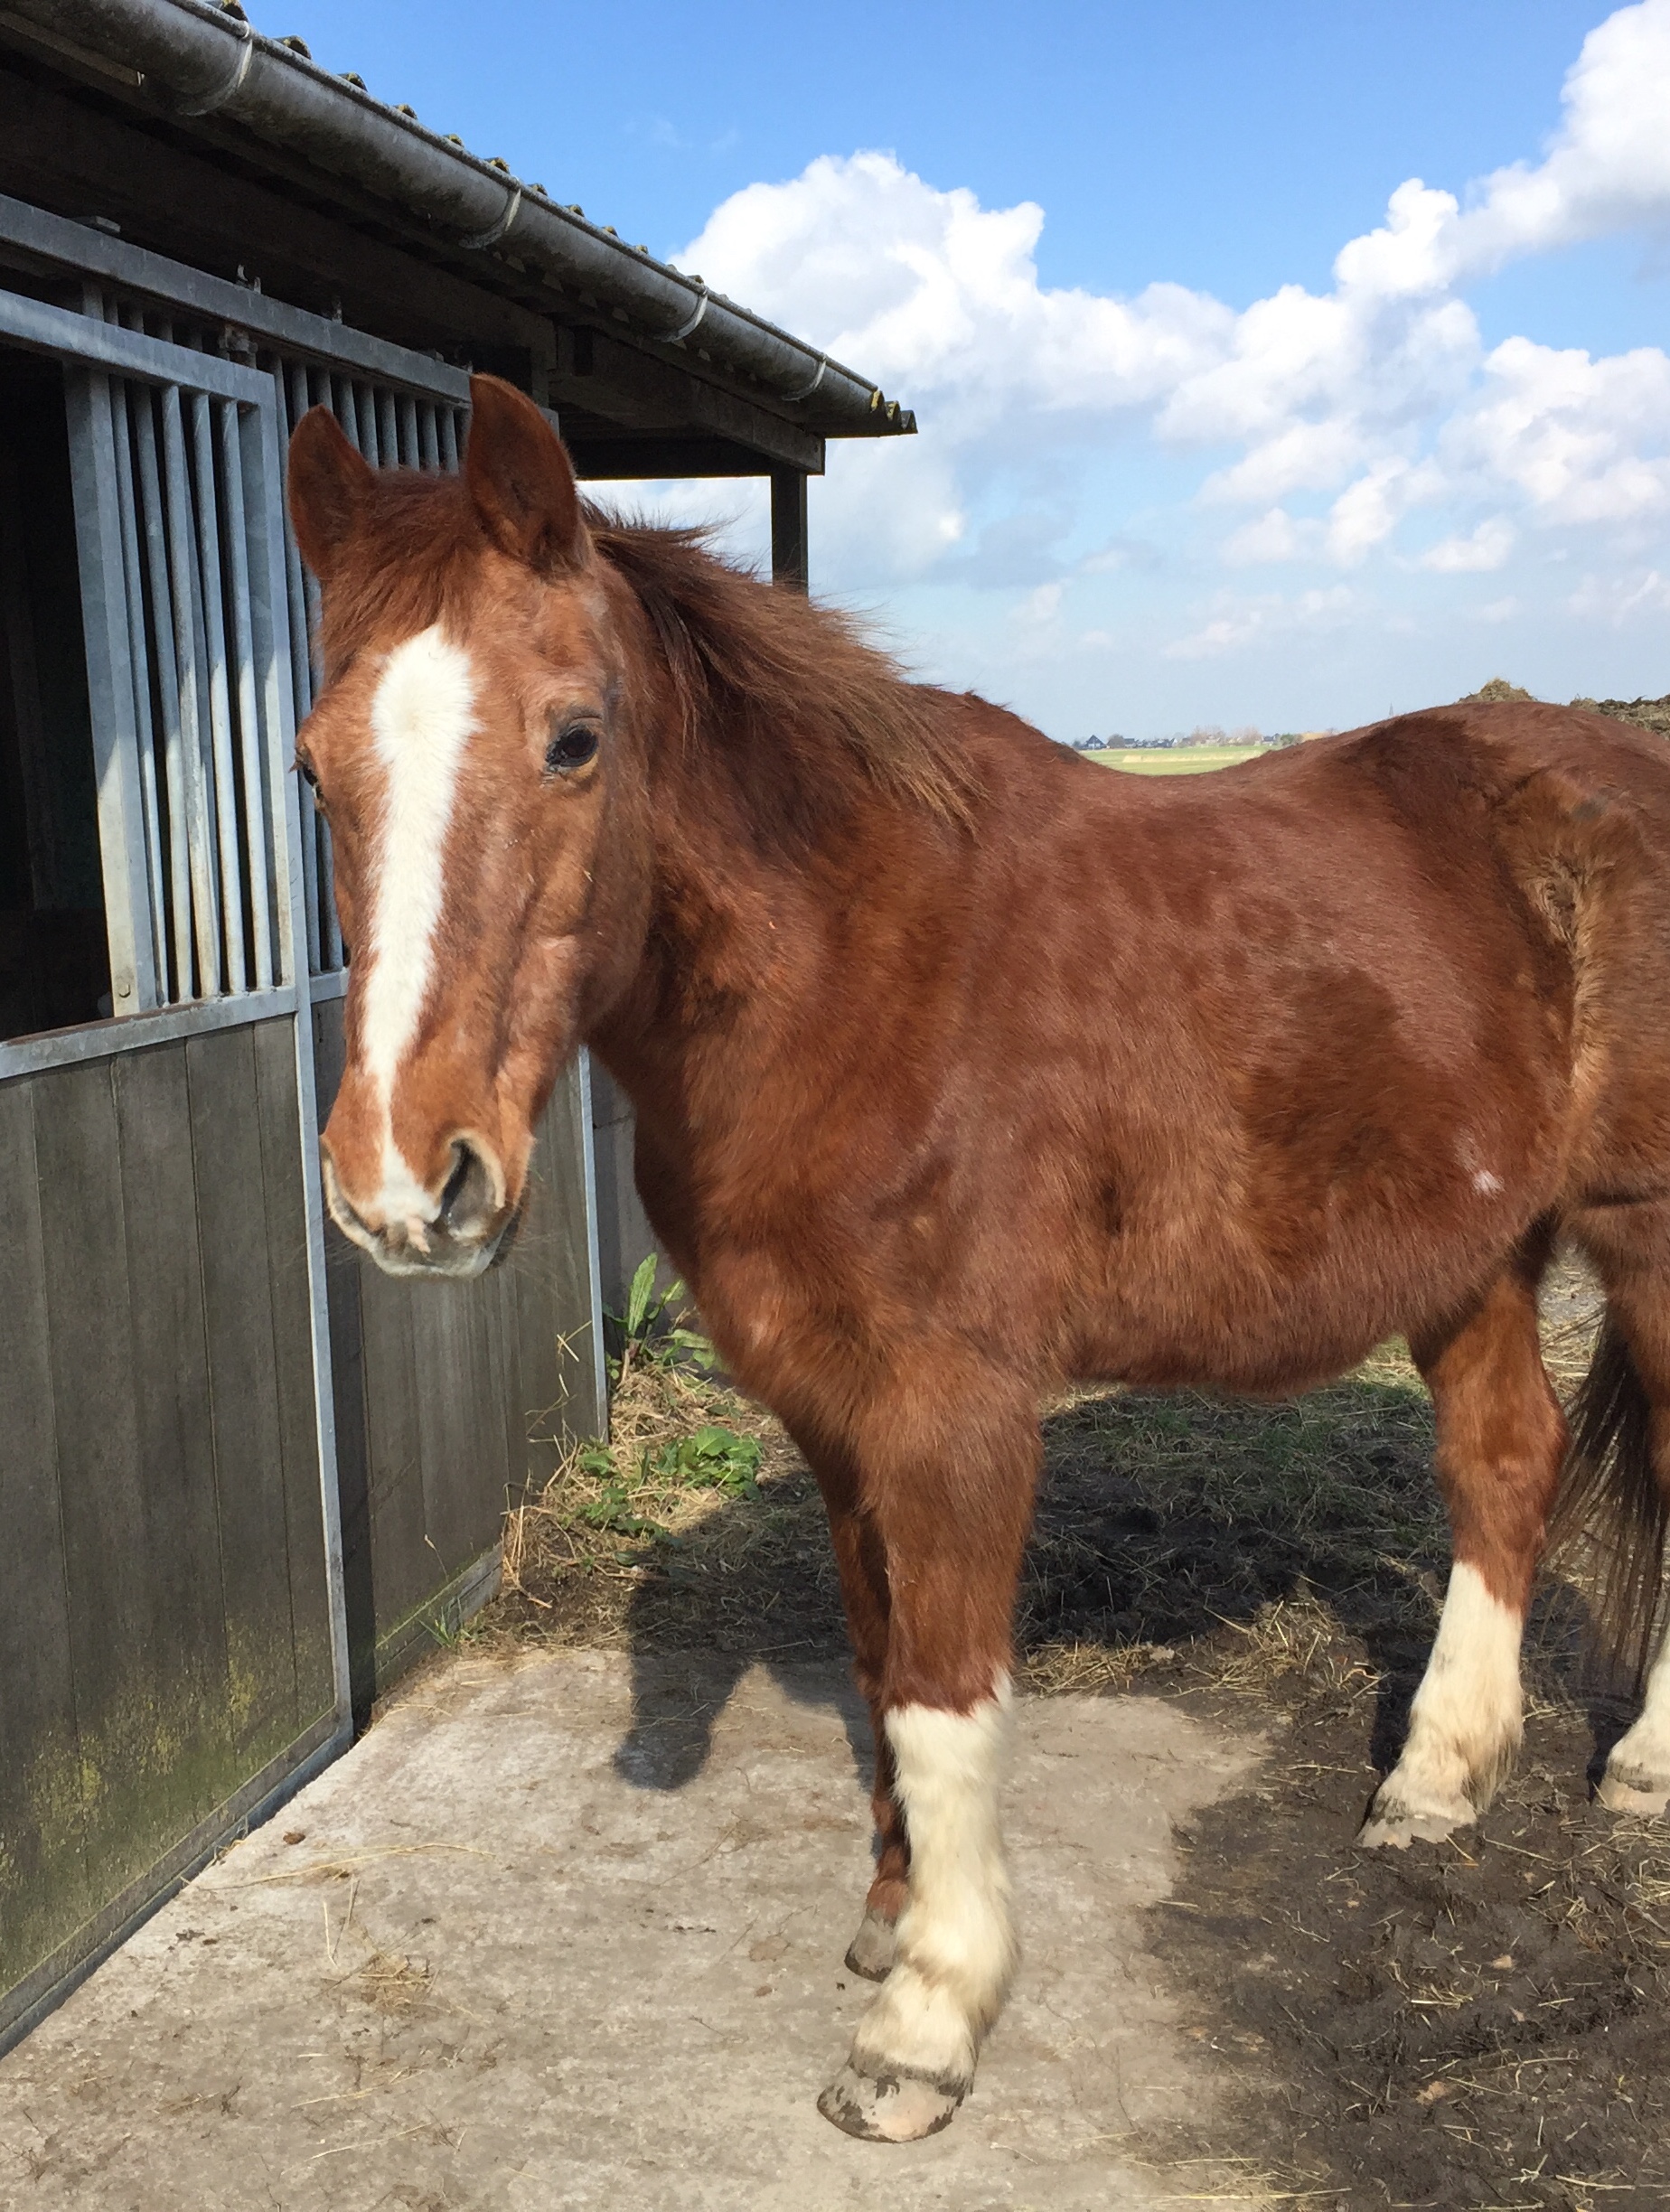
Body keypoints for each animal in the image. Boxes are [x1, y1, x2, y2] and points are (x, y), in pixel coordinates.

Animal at [285, 373, 1670, 2143]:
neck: (859, 969)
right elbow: (882, 1661)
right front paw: (889, 1921)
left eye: (573, 737)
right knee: (1504, 1462)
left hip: (1642, 1237)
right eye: (315, 770)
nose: (405, 1178)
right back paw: (1432, 1783)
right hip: (1468, 1253)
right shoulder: (828, 1405)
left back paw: (1637, 1769)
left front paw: (927, 2023)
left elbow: (946, 1695)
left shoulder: (956, 1409)